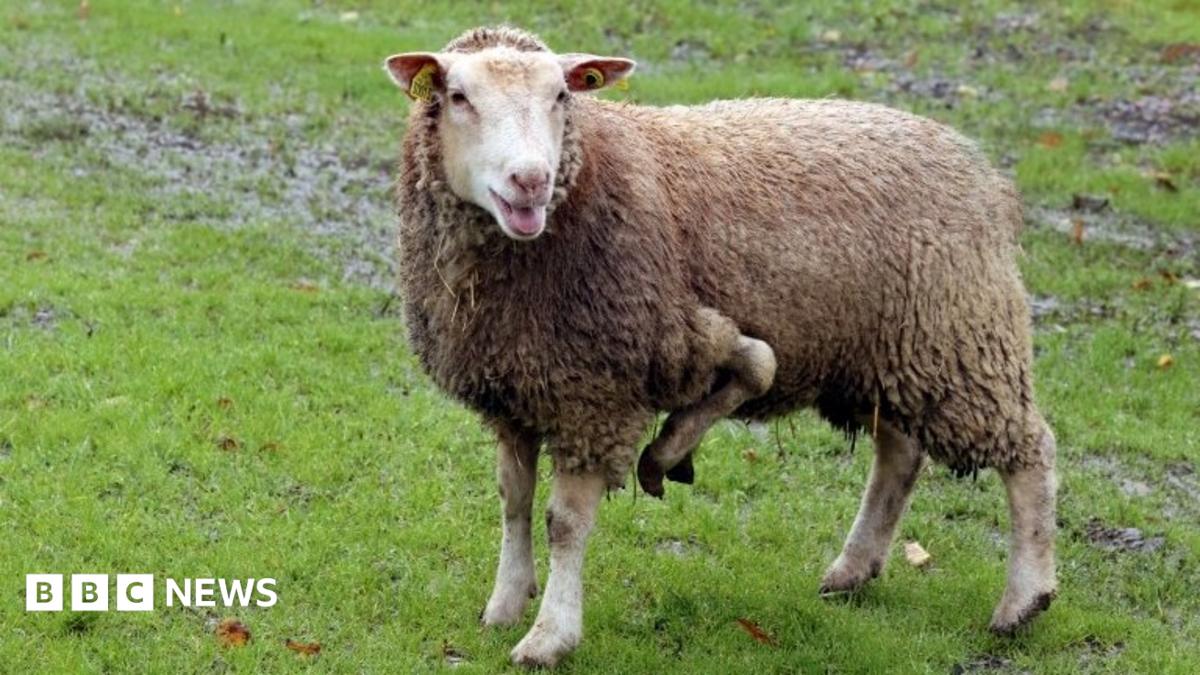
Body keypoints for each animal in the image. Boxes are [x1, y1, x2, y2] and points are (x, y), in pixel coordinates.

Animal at [384, 26, 1057, 668]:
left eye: (561, 97)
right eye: (458, 98)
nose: (531, 180)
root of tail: (980, 168)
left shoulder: (603, 387)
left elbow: (566, 523)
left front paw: (550, 635)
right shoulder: (516, 390)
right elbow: (513, 501)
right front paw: (505, 602)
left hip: (962, 334)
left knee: (1030, 450)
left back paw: (1024, 598)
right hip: (892, 351)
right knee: (899, 453)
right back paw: (852, 570)